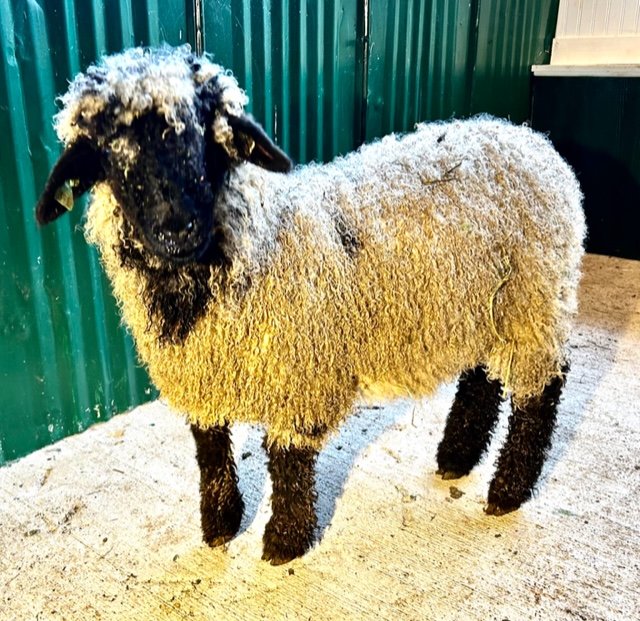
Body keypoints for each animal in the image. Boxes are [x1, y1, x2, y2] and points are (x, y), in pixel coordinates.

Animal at [36, 45, 585, 565]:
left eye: (206, 135)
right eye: (106, 154)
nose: (178, 229)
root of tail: (529, 139)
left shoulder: (297, 371)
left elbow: (289, 463)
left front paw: (284, 540)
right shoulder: (201, 376)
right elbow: (210, 452)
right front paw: (219, 526)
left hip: (533, 300)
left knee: (541, 389)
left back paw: (507, 489)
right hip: (480, 305)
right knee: (480, 378)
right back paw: (456, 456)